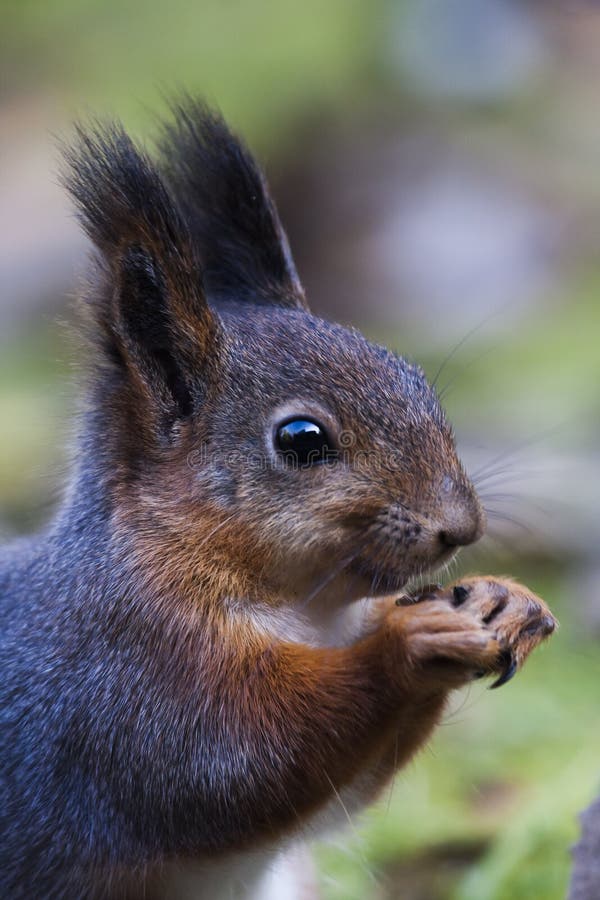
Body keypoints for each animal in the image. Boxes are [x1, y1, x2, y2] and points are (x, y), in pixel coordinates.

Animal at [0, 100, 556, 900]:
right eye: (301, 439)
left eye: (413, 375)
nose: (463, 527)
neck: (310, 612)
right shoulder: (125, 682)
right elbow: (239, 764)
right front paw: (409, 642)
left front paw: (506, 600)